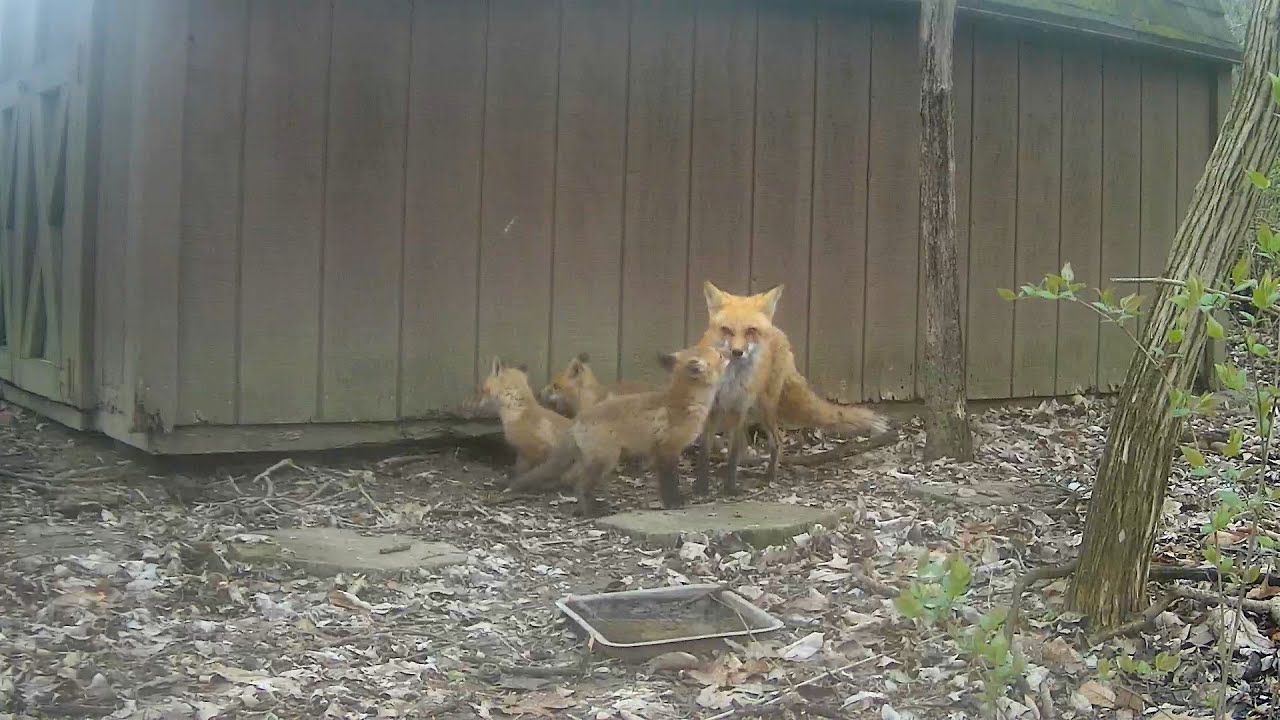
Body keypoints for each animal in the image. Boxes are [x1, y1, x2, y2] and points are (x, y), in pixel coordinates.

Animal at [508, 343, 730, 516]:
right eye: (719, 356)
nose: (732, 352)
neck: (683, 405)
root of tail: (577, 419)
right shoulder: (668, 450)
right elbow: (670, 482)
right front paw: (674, 503)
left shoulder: (660, 451)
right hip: (605, 459)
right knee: (580, 483)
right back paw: (592, 511)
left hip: (593, 459)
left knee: (572, 479)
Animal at [697, 280, 890, 495]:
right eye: (726, 330)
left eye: (750, 330)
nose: (737, 352)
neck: (729, 379)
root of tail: (778, 332)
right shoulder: (710, 408)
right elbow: (704, 451)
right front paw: (701, 487)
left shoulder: (739, 409)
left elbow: (732, 455)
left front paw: (730, 488)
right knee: (749, 444)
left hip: (764, 408)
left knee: (776, 440)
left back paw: (769, 477)